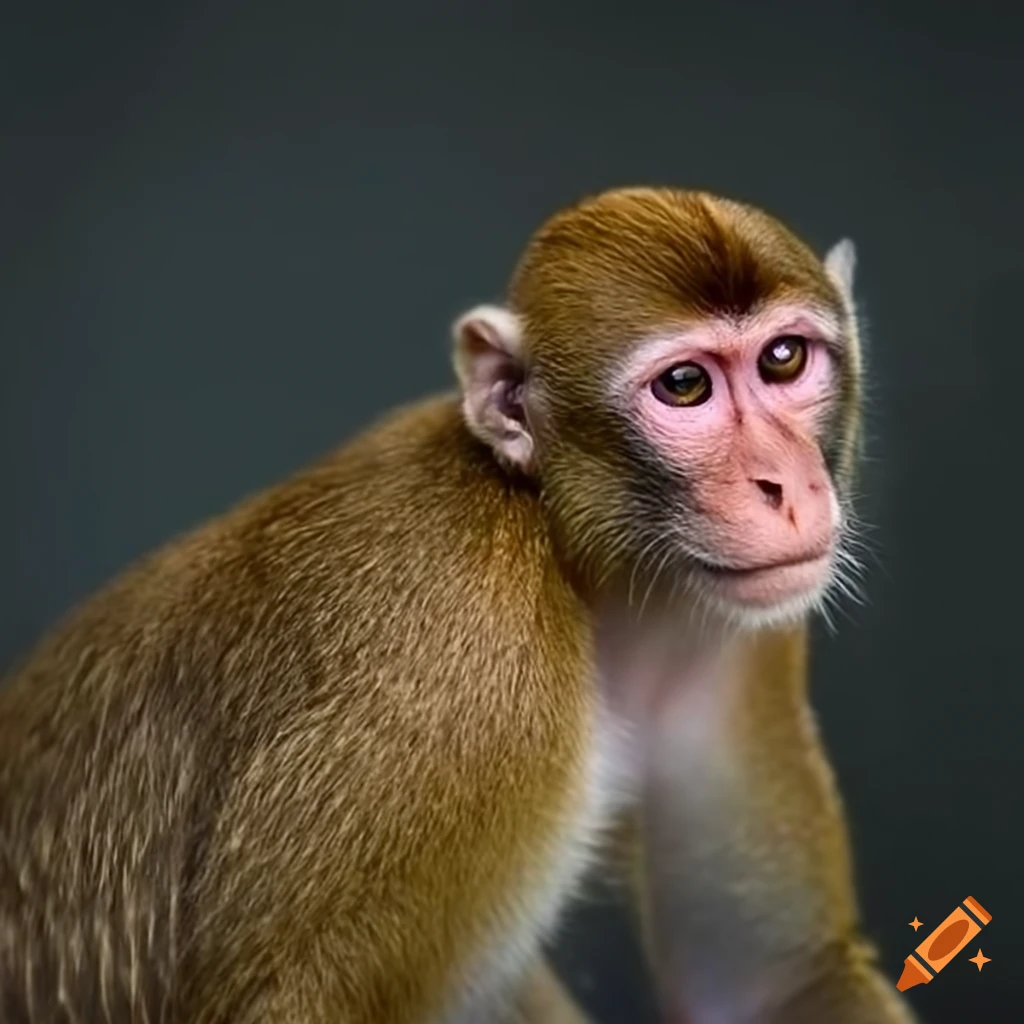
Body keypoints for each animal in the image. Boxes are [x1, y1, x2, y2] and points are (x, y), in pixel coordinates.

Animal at [0, 186, 919, 1024]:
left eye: (784, 360)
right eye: (686, 385)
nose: (784, 486)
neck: (567, 554)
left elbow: (768, 984)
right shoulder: (463, 672)